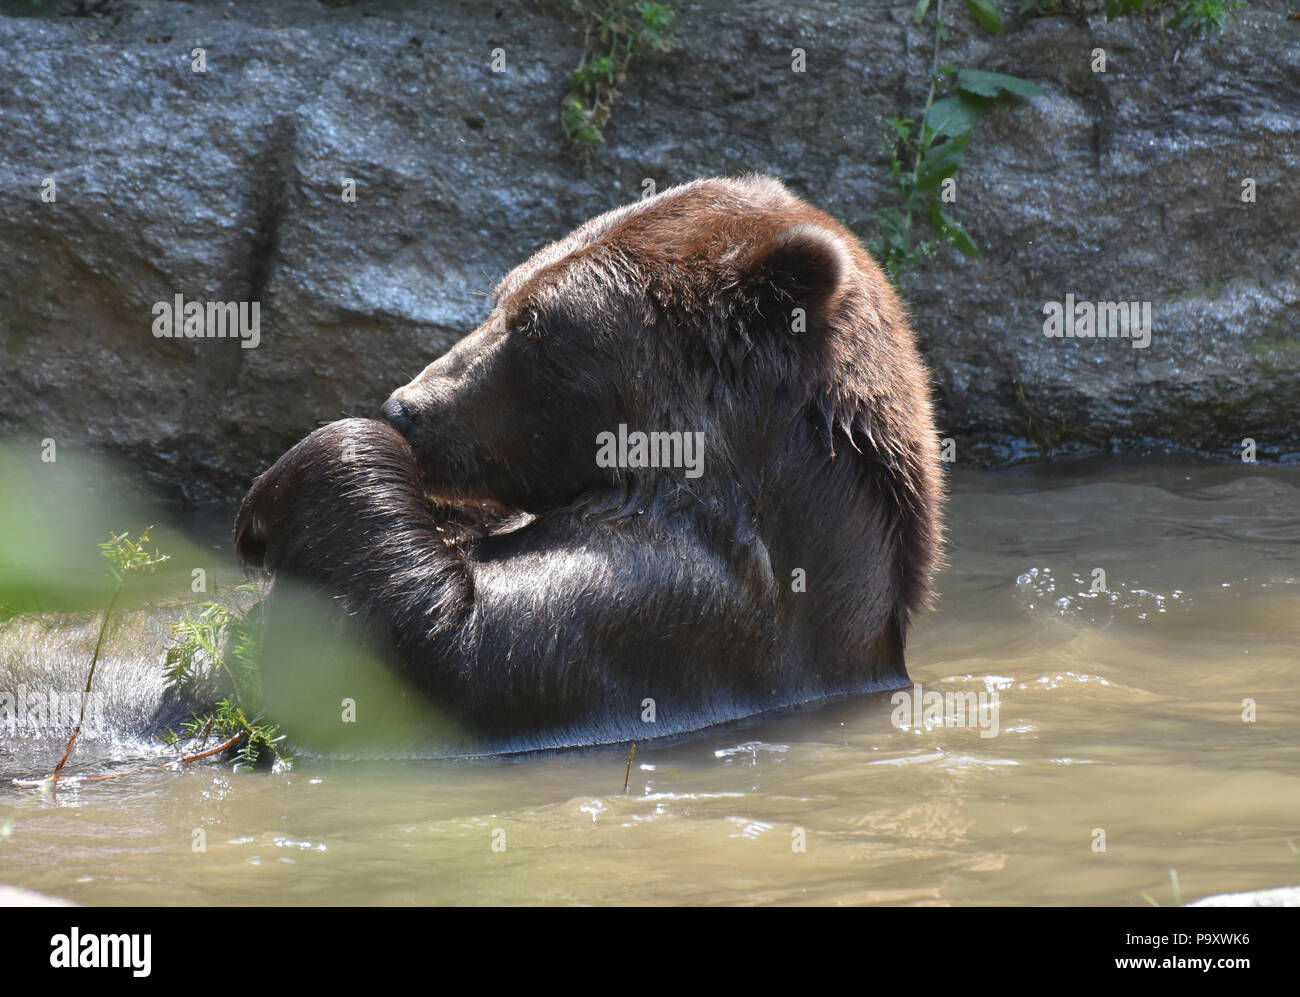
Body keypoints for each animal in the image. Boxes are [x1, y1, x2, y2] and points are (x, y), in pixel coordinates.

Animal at [235, 175, 943, 754]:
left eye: (535, 326)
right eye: (502, 295)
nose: (406, 407)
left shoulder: (674, 607)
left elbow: (445, 650)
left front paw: (283, 489)